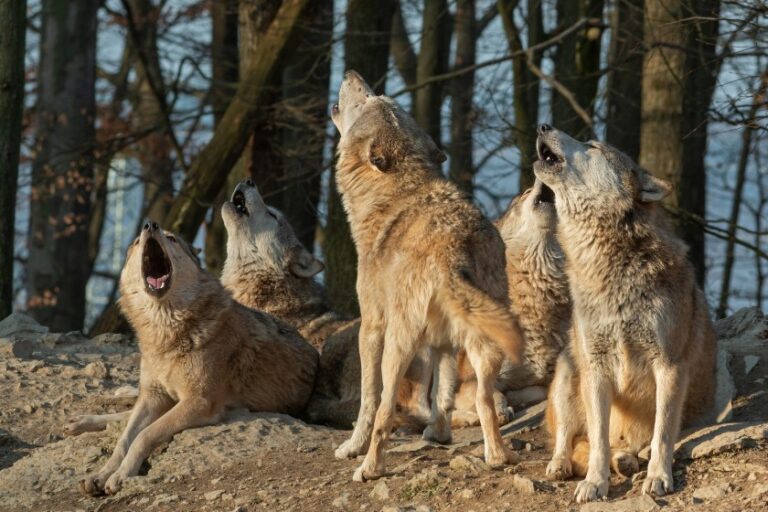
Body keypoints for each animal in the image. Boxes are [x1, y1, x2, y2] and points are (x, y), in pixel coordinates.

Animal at [79, 222, 318, 496]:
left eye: (171, 238)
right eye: (138, 241)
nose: (150, 224)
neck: (165, 331)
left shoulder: (198, 401)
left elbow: (144, 436)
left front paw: (120, 476)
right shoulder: (152, 396)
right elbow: (124, 439)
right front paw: (101, 473)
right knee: (124, 416)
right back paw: (79, 423)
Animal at [331, 70, 524, 481]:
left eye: (371, 99)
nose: (353, 73)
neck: (391, 191)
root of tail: (454, 248)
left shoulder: (371, 327)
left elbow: (368, 401)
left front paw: (351, 447)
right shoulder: (443, 342)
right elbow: (444, 393)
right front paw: (438, 434)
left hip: (398, 345)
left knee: (386, 409)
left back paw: (369, 468)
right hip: (486, 342)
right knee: (484, 399)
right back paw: (498, 456)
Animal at [534, 125, 717, 503]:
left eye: (592, 145)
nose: (544, 126)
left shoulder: (669, 366)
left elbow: (663, 433)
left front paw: (659, 476)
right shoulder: (596, 367)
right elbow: (598, 441)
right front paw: (595, 483)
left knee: (632, 446)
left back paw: (631, 460)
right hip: (568, 371)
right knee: (568, 437)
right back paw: (563, 465)